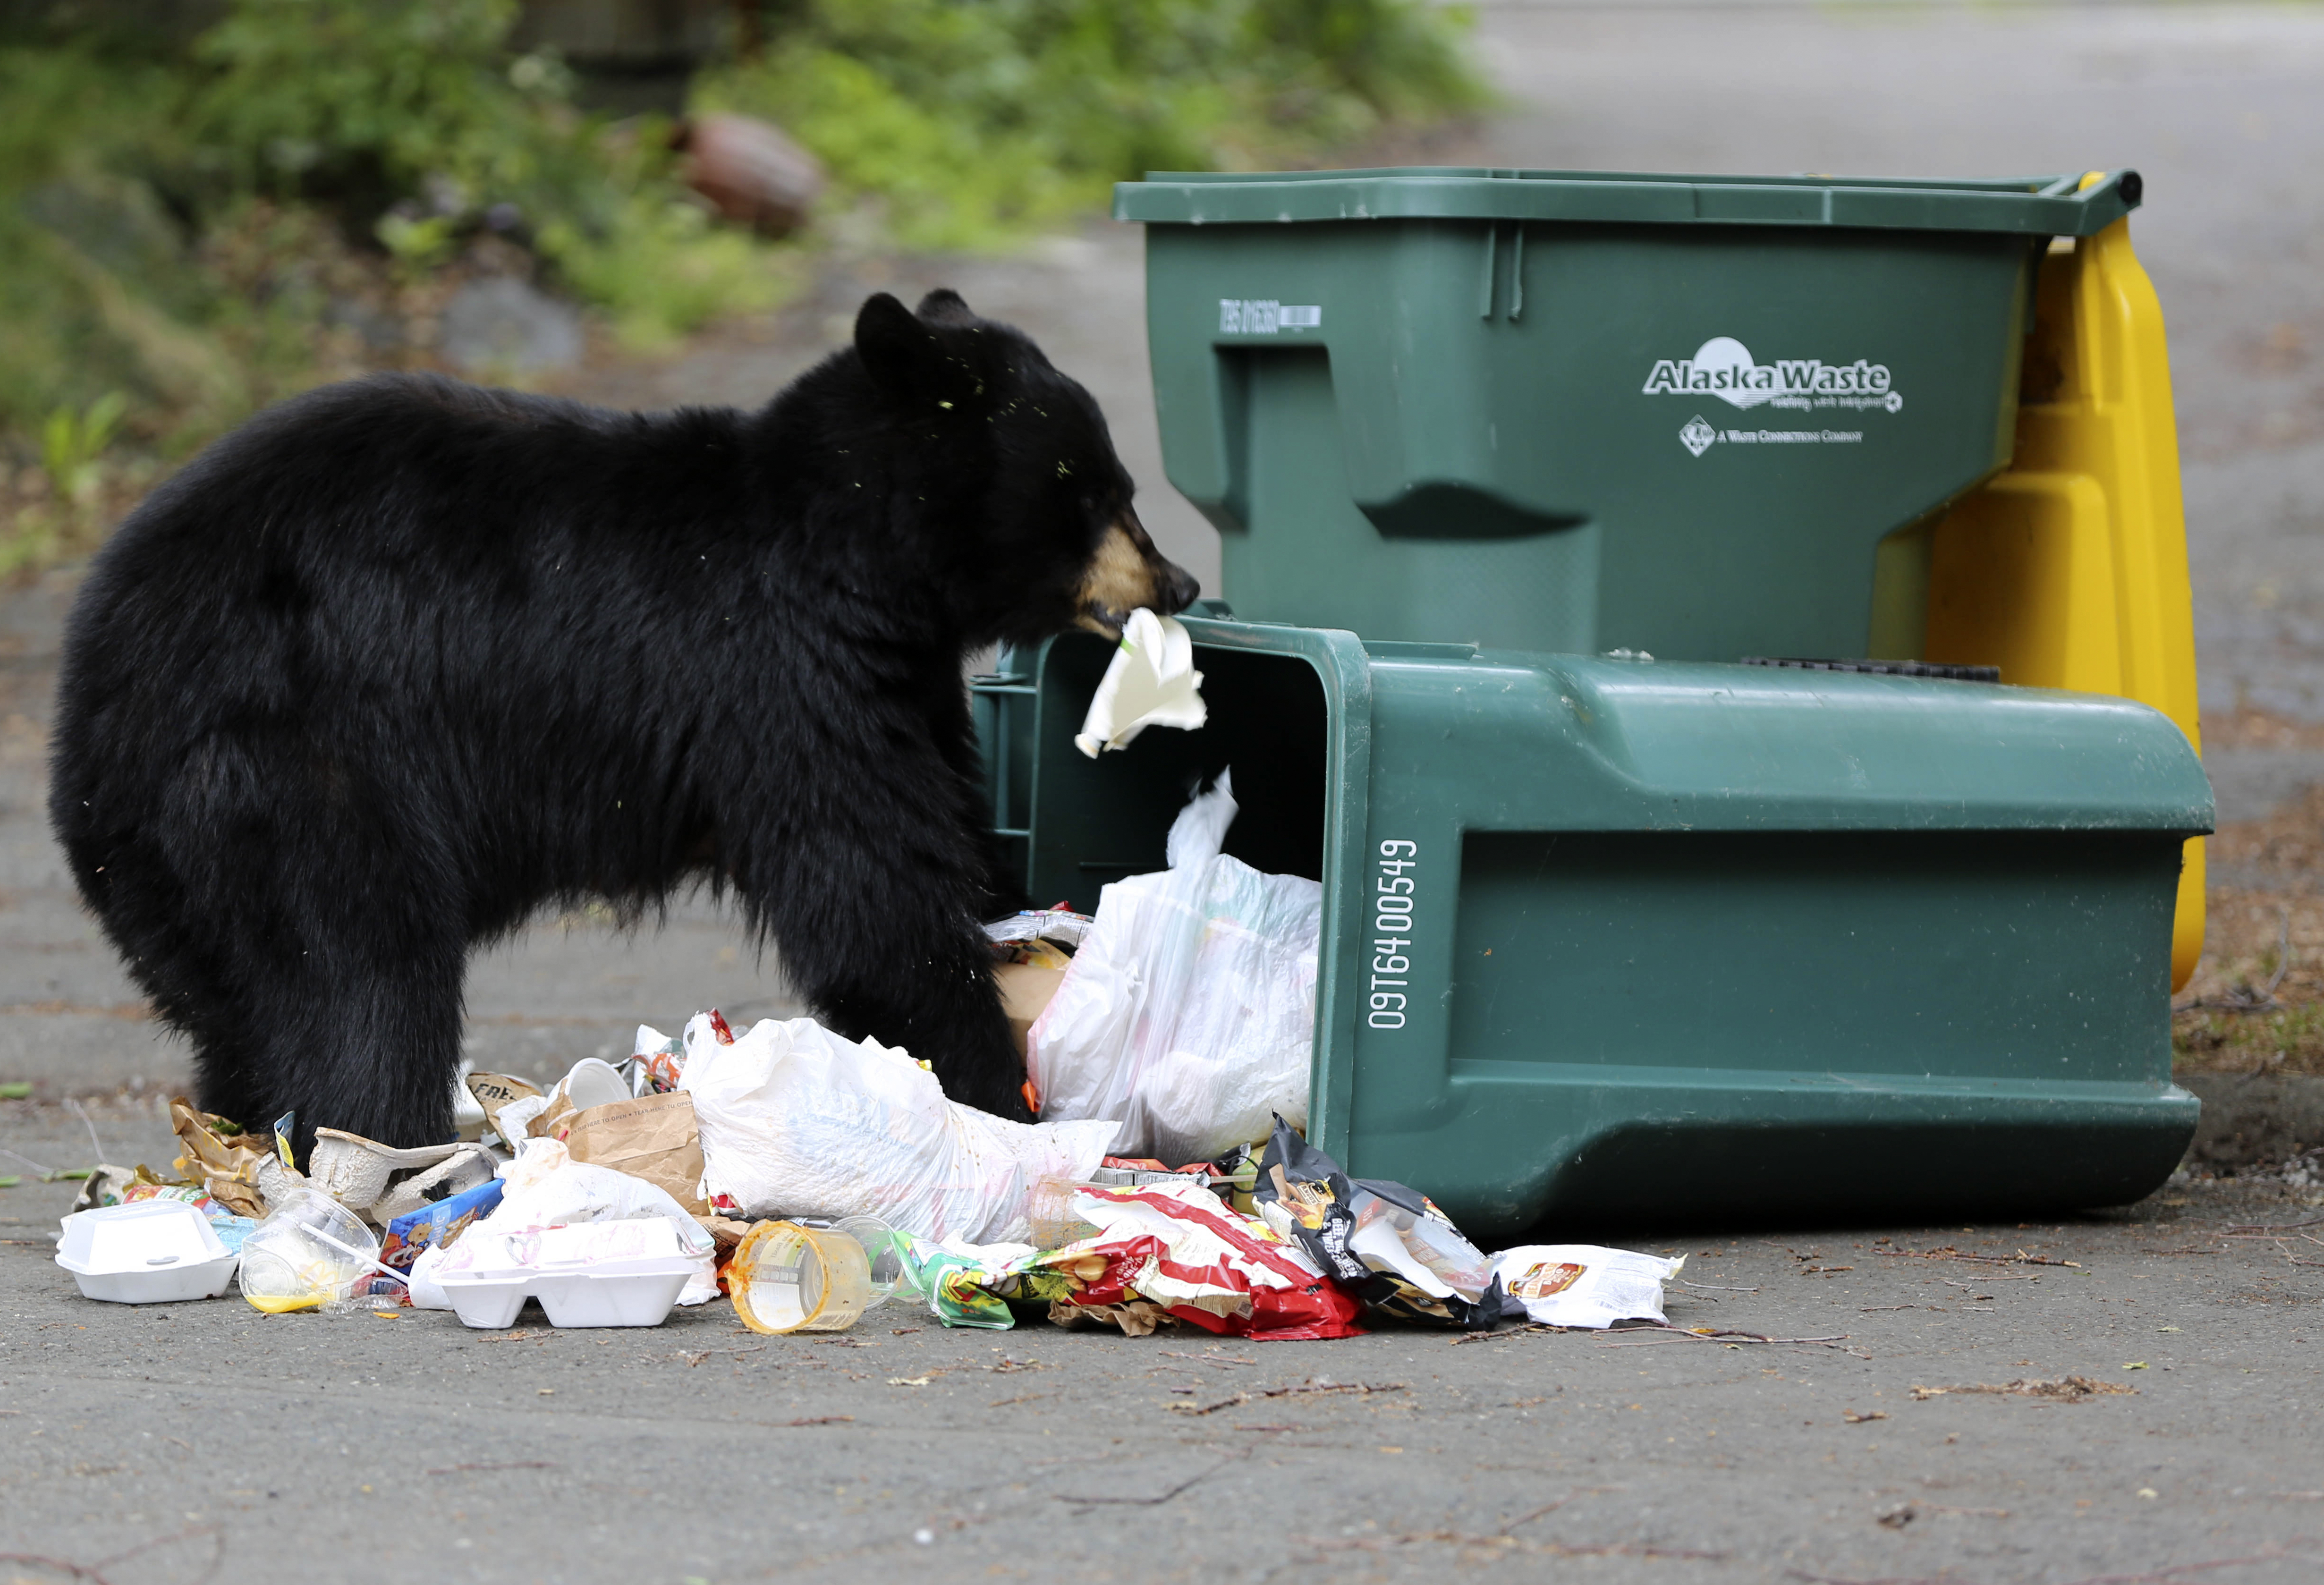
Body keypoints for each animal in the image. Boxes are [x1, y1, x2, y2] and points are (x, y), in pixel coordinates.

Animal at [48, 288, 1198, 1156]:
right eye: (1092, 488)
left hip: (184, 872)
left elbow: (948, 822)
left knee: (252, 1006)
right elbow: (871, 888)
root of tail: (87, 713)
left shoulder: (903, 679)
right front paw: (997, 1097)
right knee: (364, 976)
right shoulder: (781, 675)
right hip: (300, 765)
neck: (864, 561)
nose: (1177, 581)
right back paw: (389, 1156)